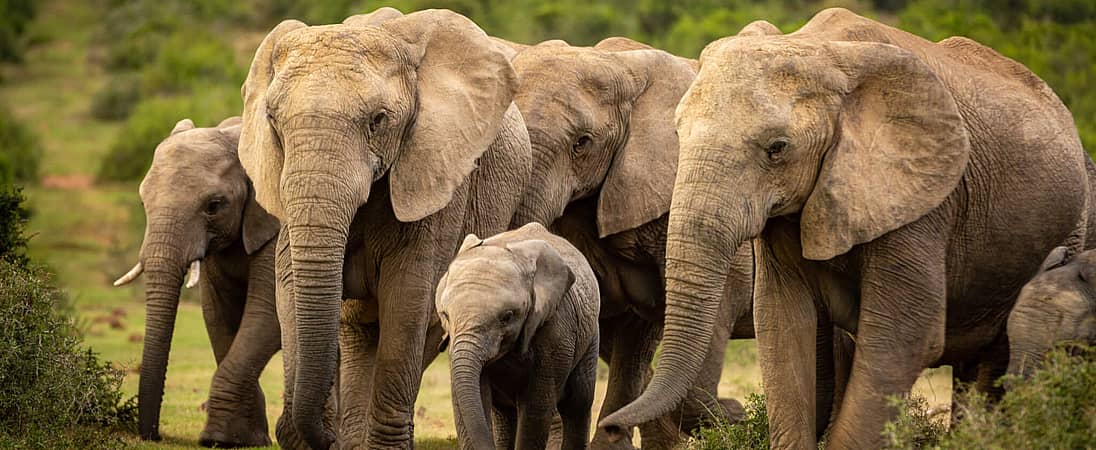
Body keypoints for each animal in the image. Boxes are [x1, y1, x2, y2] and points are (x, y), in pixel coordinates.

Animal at [113, 116, 281, 447]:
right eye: (143, 202)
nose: (154, 435)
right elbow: (218, 316)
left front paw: (221, 438)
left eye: (214, 206)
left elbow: (269, 314)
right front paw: (244, 440)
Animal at [237, 9, 531, 449]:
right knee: (357, 331)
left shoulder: (435, 173)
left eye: (378, 121)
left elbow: (408, 296)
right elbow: (289, 285)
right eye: (272, 120)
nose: (327, 434)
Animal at [435, 222, 600, 450]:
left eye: (507, 317)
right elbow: (468, 400)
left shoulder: (555, 330)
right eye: (445, 315)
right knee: (503, 413)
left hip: (590, 335)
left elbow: (536, 408)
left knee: (578, 403)